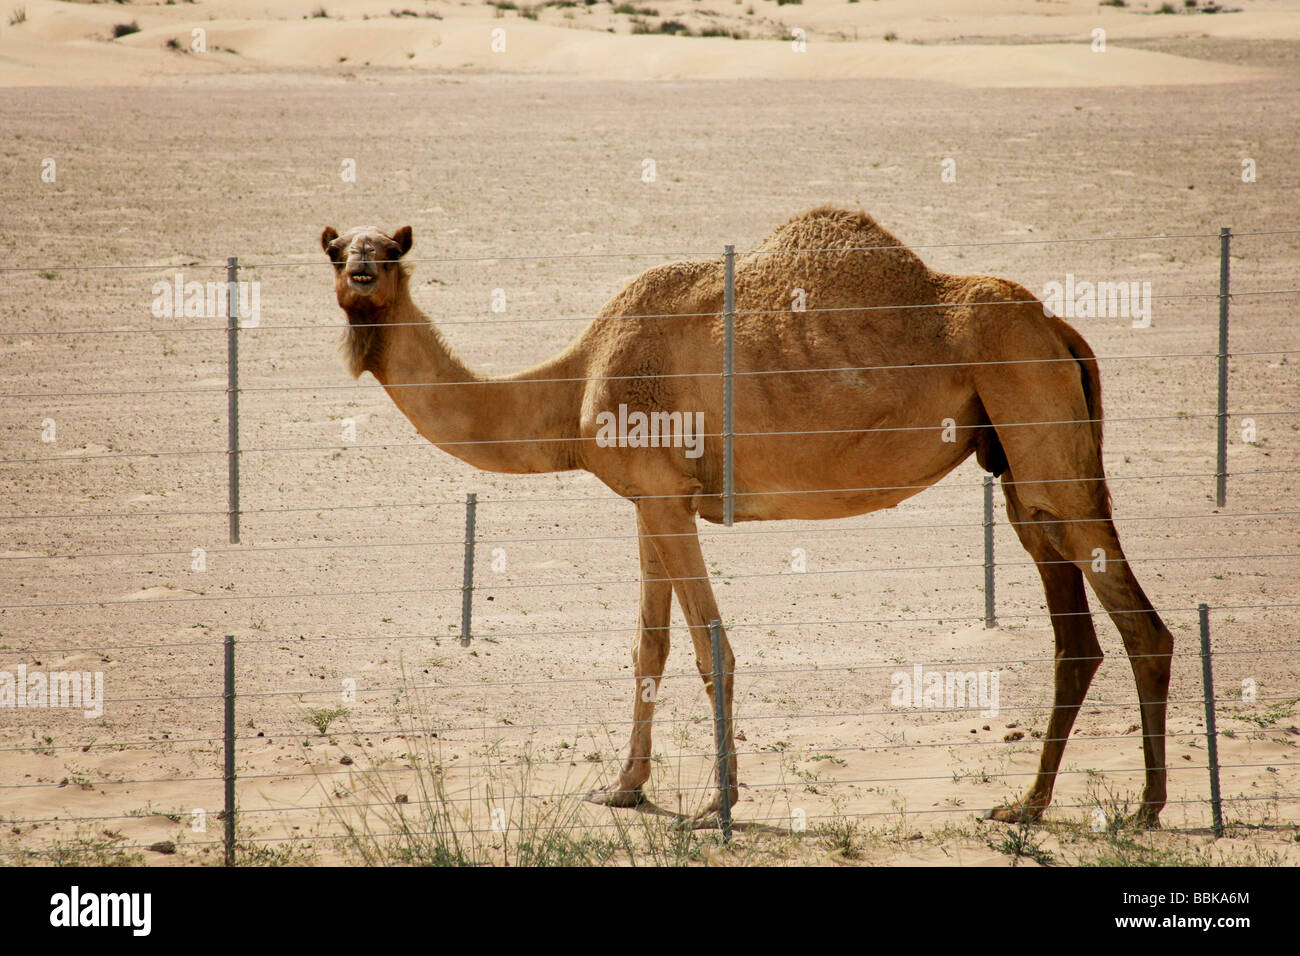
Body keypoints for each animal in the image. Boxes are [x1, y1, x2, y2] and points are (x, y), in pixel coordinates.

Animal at [321, 206, 1174, 828]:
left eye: (389, 251)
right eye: (336, 253)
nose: (360, 274)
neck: (574, 387)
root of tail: (1059, 328)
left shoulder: (666, 496)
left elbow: (709, 648)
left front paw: (716, 805)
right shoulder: (652, 498)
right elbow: (650, 646)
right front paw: (625, 788)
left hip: (1036, 411)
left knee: (1140, 623)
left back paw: (1145, 808)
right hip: (1015, 463)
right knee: (1073, 629)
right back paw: (1026, 805)